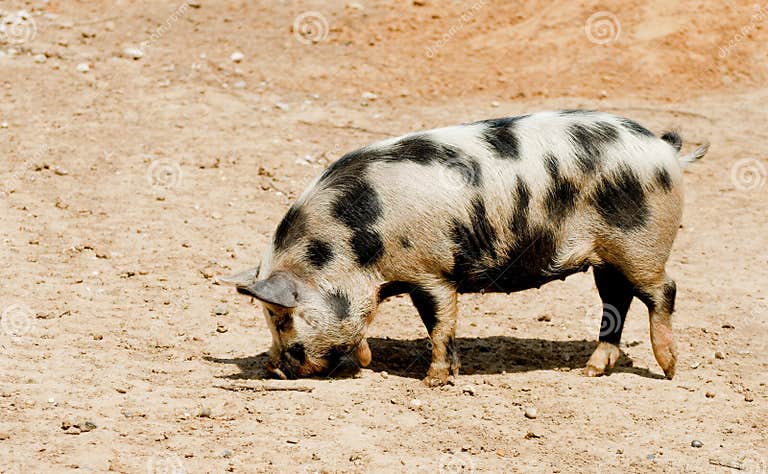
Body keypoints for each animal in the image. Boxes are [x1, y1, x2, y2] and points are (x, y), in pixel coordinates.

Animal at [222, 110, 708, 386]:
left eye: (282, 317)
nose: (273, 367)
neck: (356, 246)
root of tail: (664, 148)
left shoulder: (432, 270)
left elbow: (439, 324)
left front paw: (434, 382)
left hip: (641, 245)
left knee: (664, 291)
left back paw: (669, 370)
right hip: (607, 257)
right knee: (616, 301)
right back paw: (591, 371)